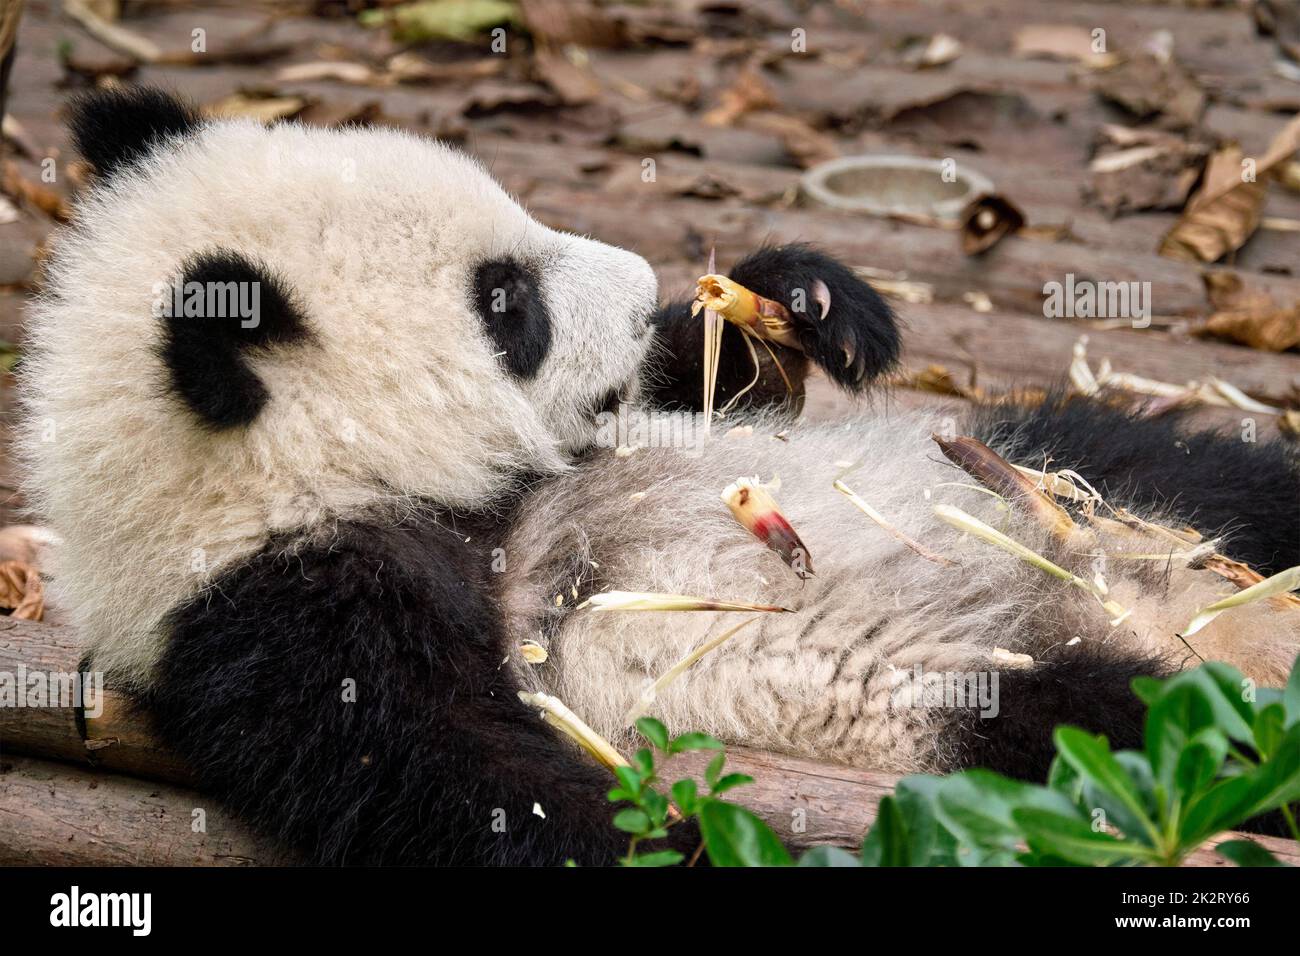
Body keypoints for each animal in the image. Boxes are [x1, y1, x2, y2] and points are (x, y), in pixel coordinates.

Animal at [17, 87, 1300, 866]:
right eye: (507, 304)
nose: (639, 288)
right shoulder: (285, 612)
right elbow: (466, 778)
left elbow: (698, 390)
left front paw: (801, 301)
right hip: (979, 700)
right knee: (1130, 716)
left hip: (1068, 483)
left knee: (1187, 471)